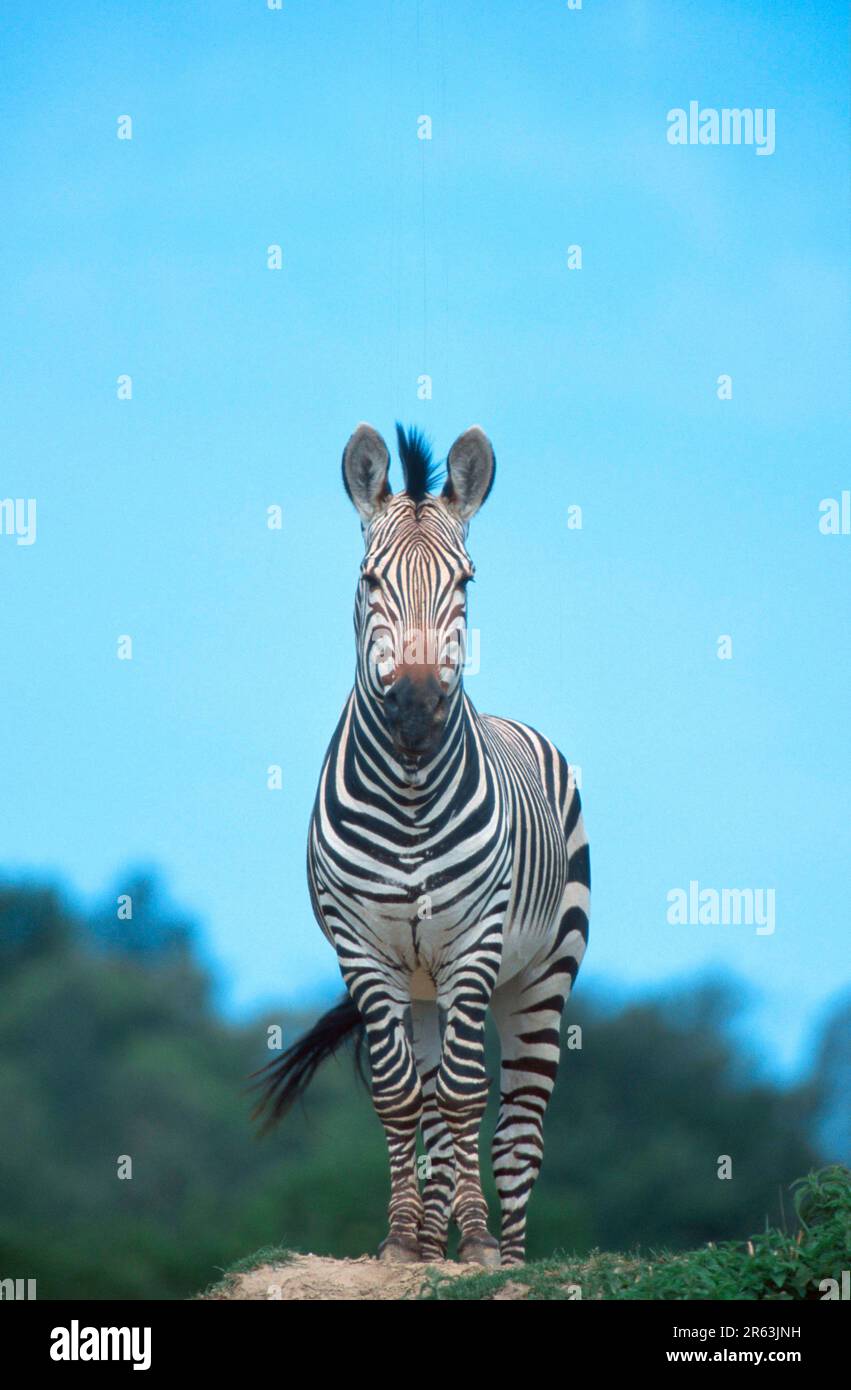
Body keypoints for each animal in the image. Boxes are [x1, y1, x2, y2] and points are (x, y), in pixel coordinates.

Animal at [255, 422, 590, 1267]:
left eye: (465, 582)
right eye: (369, 580)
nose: (413, 708)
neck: (408, 796)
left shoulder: (475, 940)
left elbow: (468, 1094)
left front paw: (474, 1245)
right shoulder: (362, 949)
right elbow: (404, 1095)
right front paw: (406, 1242)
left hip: (539, 975)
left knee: (516, 1131)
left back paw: (505, 1257)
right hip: (422, 985)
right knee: (435, 1109)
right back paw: (434, 1235)